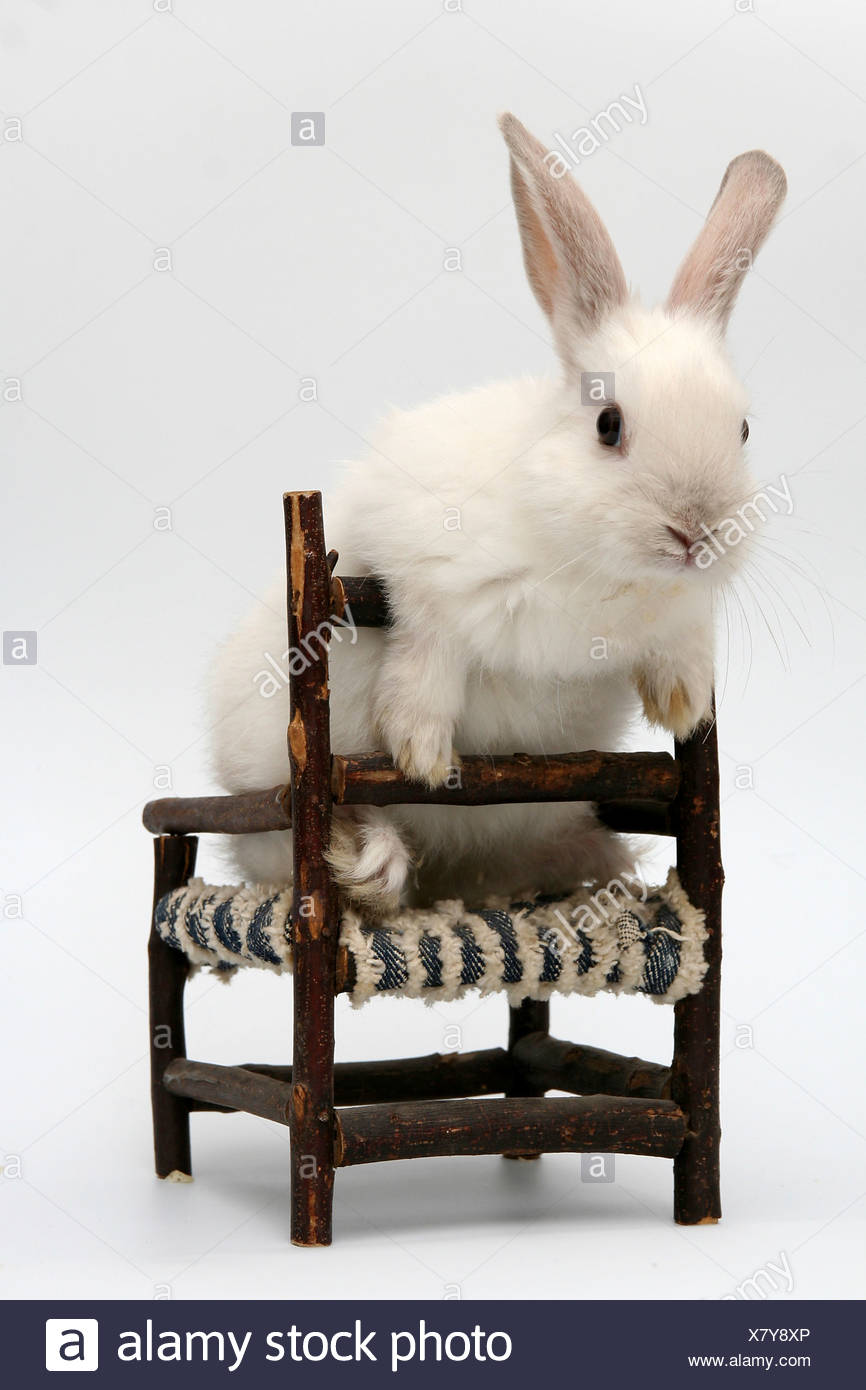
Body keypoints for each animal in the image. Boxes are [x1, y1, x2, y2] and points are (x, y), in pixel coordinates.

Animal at [208, 113, 786, 913]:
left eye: (744, 430)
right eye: (608, 425)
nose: (696, 533)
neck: (591, 565)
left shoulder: (679, 616)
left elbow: (682, 647)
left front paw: (683, 703)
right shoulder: (414, 565)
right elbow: (429, 647)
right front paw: (419, 750)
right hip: (275, 806)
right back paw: (371, 860)